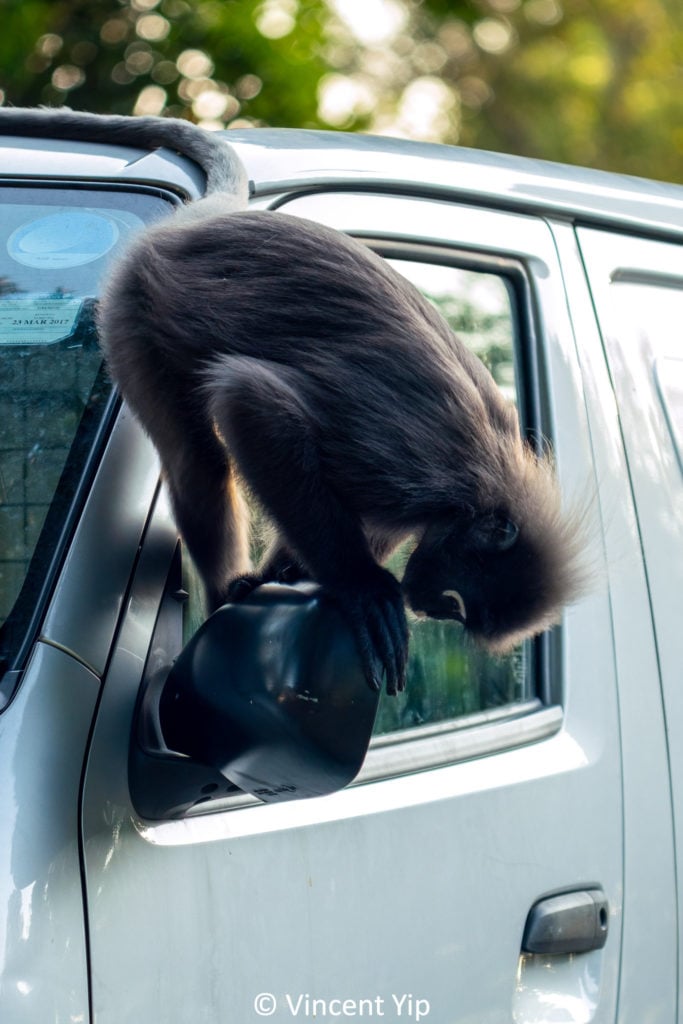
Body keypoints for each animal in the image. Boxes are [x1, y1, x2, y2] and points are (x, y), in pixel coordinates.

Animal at [0, 107, 586, 695]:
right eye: (458, 603)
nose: (424, 605)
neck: (486, 470)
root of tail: (200, 222)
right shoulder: (404, 451)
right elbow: (255, 402)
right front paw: (359, 584)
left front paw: (284, 576)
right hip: (133, 306)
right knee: (197, 460)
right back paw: (225, 594)